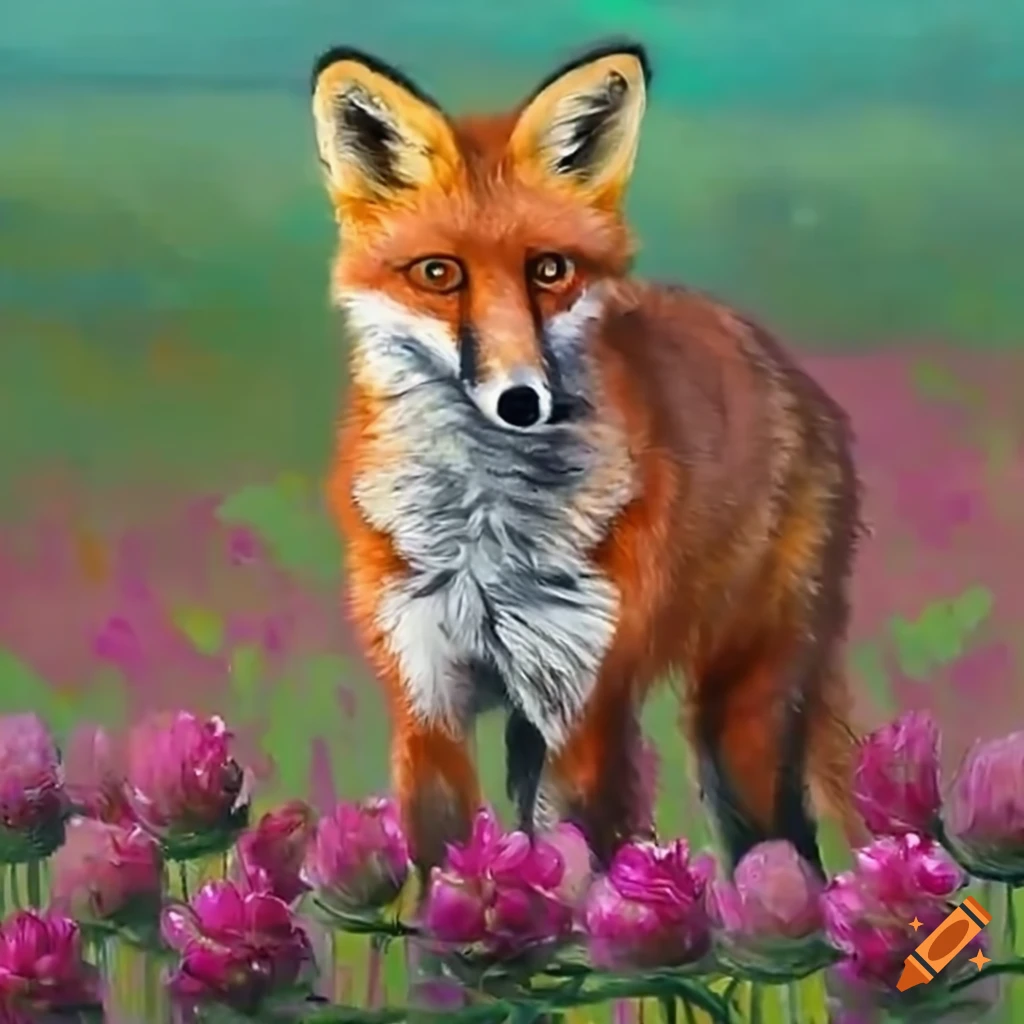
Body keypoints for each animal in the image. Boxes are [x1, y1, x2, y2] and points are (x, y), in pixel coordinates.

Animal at [310, 39, 867, 880]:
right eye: (439, 273)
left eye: (549, 270)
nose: (521, 400)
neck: (486, 531)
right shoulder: (427, 701)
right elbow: (442, 875)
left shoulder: (584, 704)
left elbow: (583, 863)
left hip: (738, 718)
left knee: (784, 845)